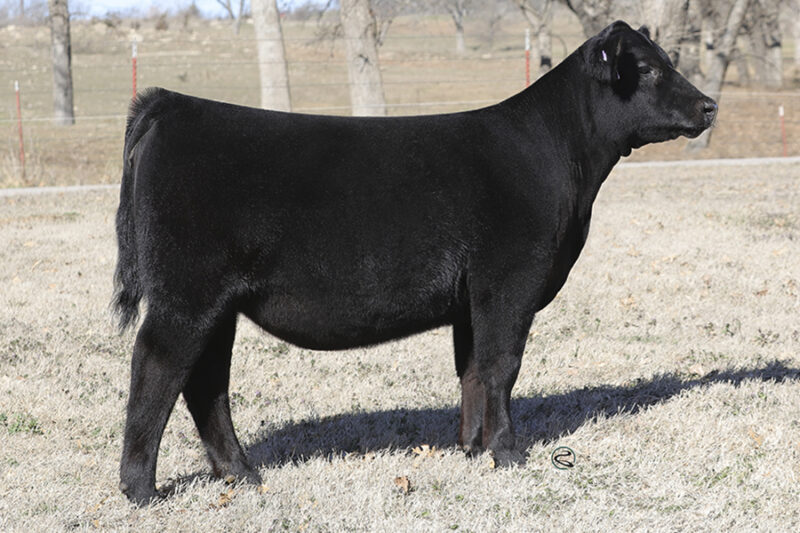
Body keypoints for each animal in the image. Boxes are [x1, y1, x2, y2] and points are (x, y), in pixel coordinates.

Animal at [113, 21, 717, 505]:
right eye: (650, 70)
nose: (709, 105)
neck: (560, 159)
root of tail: (173, 104)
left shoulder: (472, 295)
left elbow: (473, 369)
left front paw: (472, 448)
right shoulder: (509, 278)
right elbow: (502, 365)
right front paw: (508, 453)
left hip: (218, 303)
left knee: (205, 382)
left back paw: (241, 473)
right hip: (187, 292)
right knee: (157, 367)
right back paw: (141, 489)